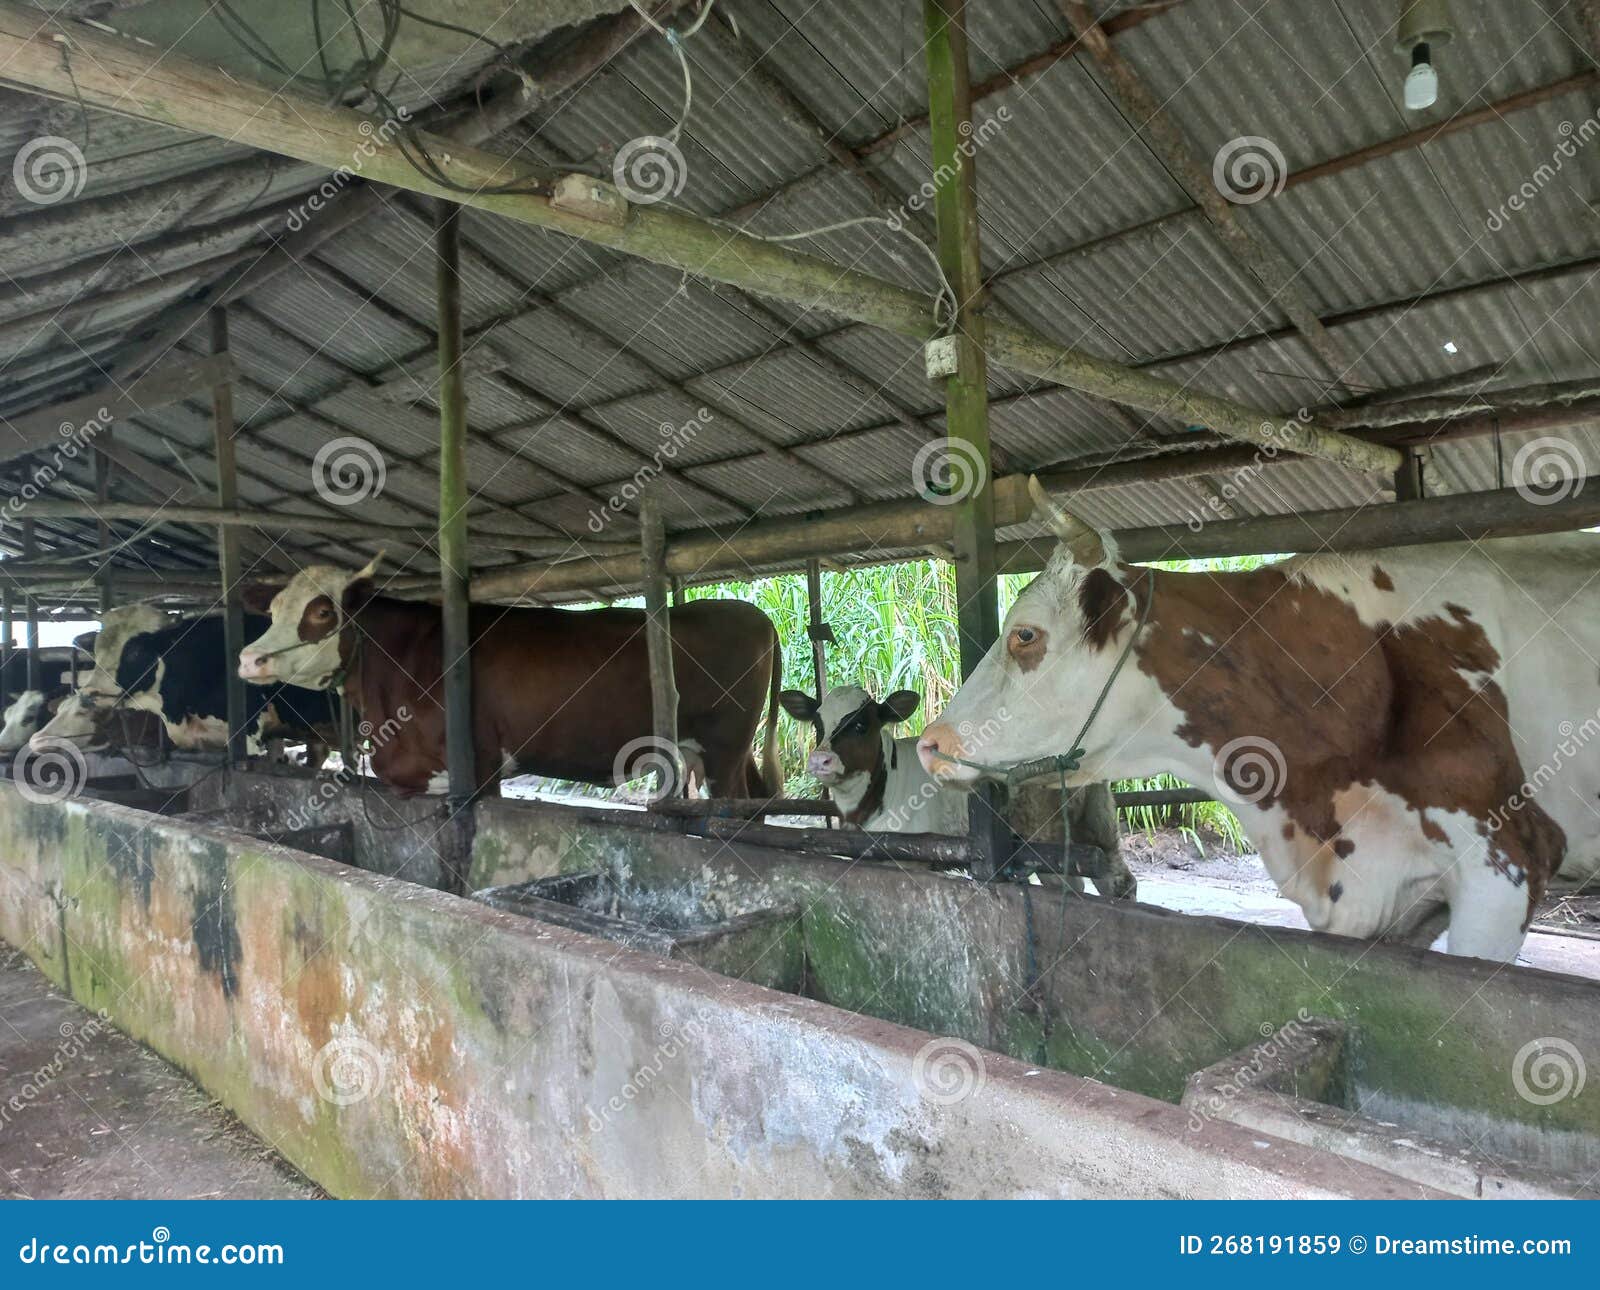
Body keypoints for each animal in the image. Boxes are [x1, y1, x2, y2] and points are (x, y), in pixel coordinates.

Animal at [236, 557, 783, 797]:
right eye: (274, 609)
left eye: (322, 612)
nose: (249, 658)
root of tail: (750, 613)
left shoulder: (477, 767)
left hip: (725, 748)